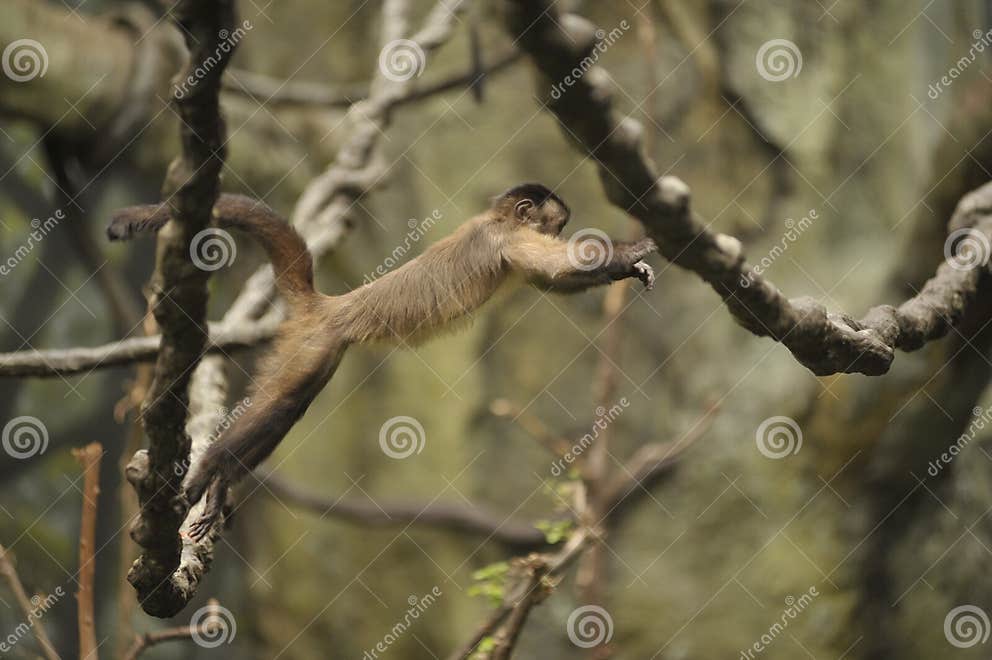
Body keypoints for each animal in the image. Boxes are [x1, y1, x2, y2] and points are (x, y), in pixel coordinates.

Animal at [109, 184, 657, 539]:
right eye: (558, 222)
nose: (564, 225)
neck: (497, 220)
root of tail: (329, 307)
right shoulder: (509, 240)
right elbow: (560, 267)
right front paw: (640, 247)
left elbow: (555, 280)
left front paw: (633, 264)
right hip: (311, 346)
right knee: (282, 403)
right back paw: (211, 472)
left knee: (289, 407)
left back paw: (221, 482)